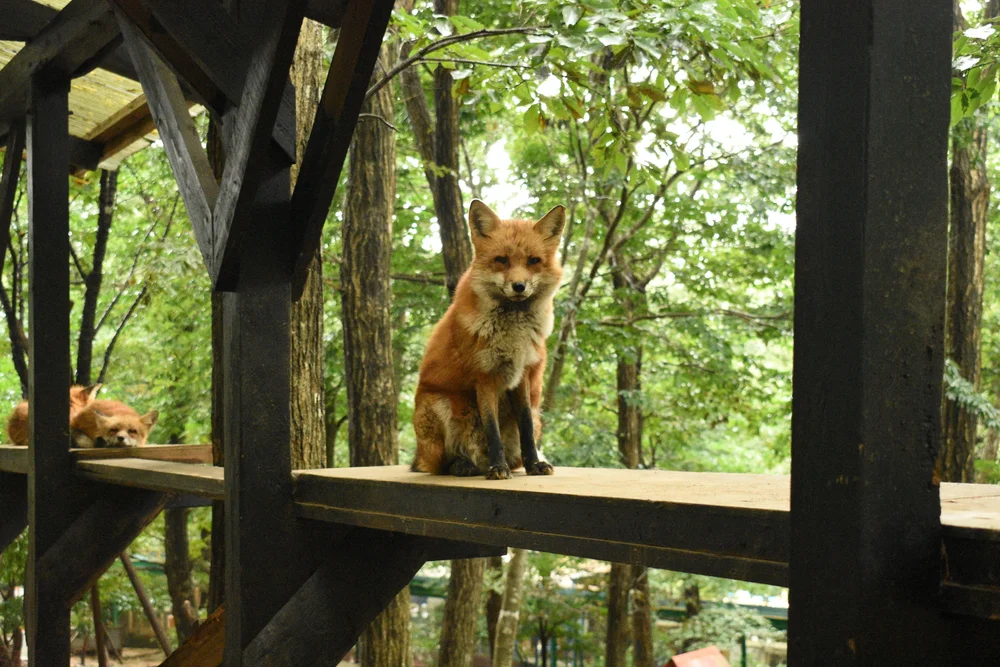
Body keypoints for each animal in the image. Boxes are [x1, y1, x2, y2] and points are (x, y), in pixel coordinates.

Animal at [411, 199, 565, 480]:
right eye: (501, 260)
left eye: (533, 261)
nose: (519, 286)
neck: (513, 333)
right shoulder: (484, 377)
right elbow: (491, 430)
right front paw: (497, 468)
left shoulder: (522, 376)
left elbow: (526, 427)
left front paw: (533, 464)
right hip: (437, 406)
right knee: (441, 465)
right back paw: (464, 465)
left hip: (536, 416)